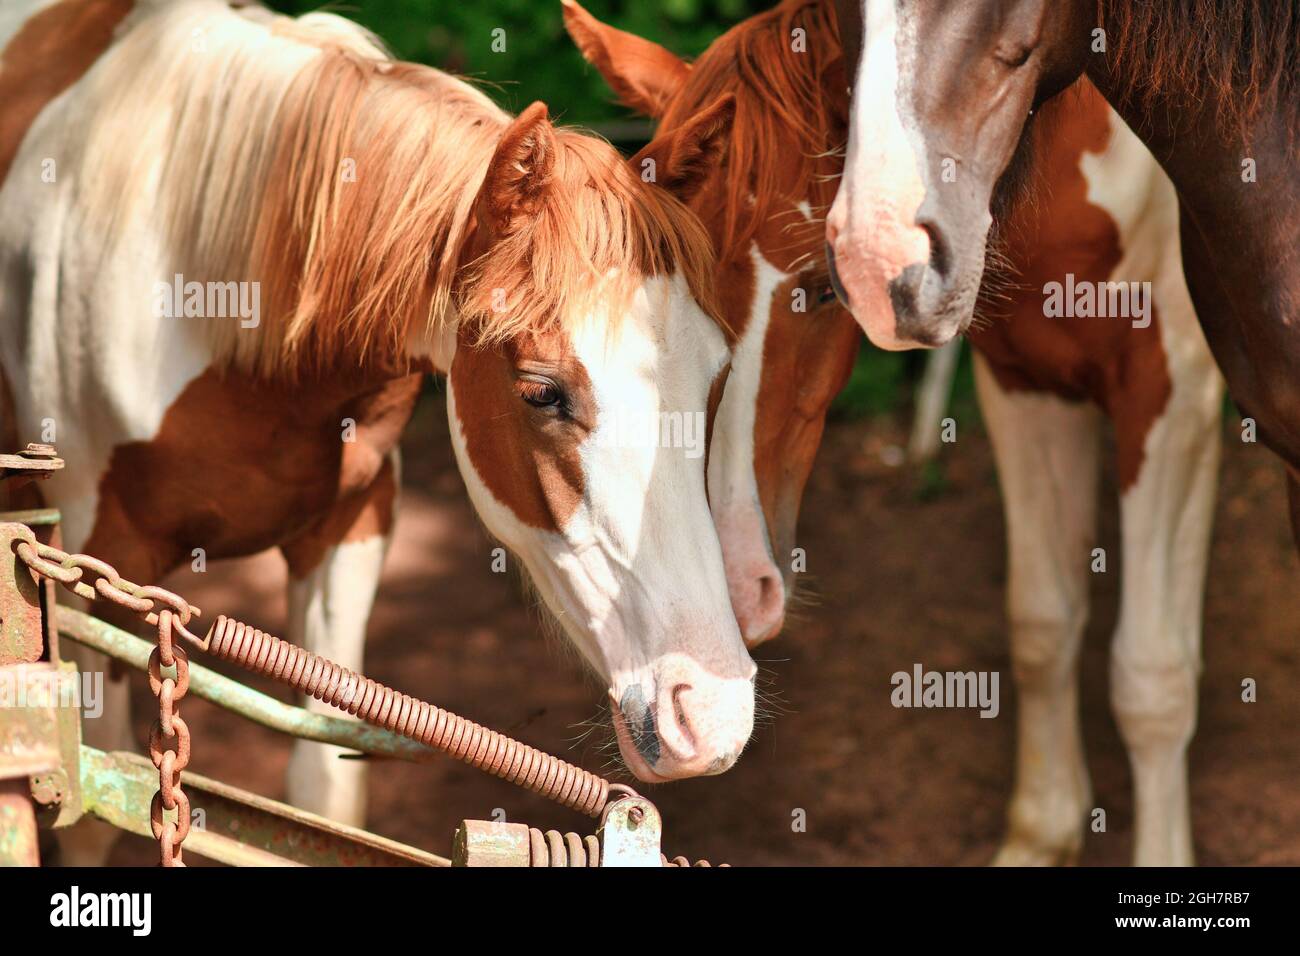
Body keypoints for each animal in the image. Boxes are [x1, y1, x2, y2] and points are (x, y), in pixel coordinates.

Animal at [0, 0, 756, 863]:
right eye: (541, 392)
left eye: (716, 375)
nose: (712, 714)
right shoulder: (95, 569)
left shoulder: (351, 531)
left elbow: (322, 792)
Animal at [564, 0, 1224, 865]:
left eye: (824, 287)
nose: (740, 583)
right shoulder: (1024, 381)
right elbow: (1043, 623)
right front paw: (1042, 834)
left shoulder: (1171, 393)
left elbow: (1153, 678)